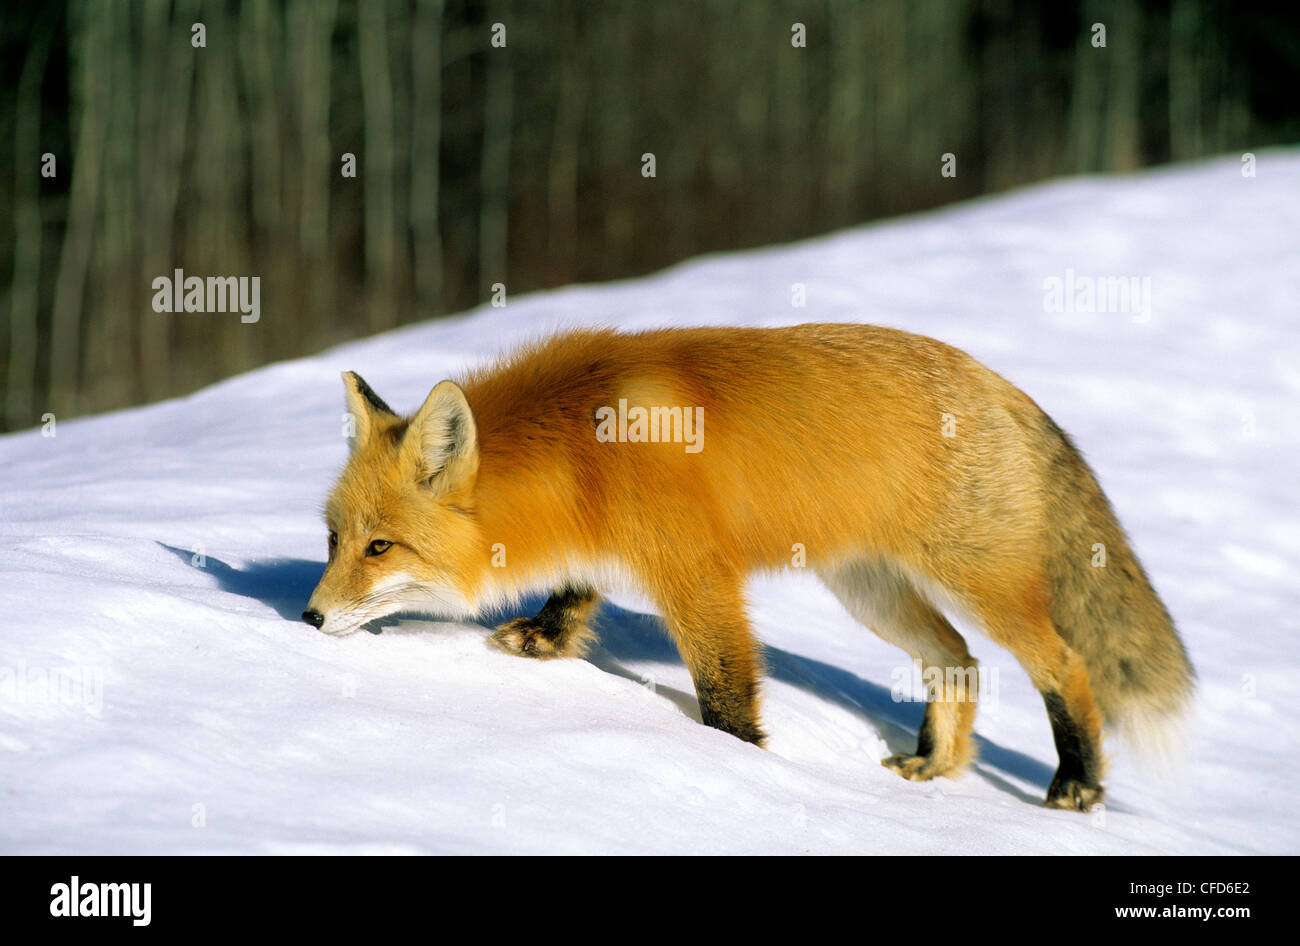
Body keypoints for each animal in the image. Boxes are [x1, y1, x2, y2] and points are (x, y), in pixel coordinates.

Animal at [302, 324, 1194, 811]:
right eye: (333, 540)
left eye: (381, 548)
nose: (308, 619)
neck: (585, 453)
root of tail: (1006, 389)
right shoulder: (611, 546)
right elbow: (574, 593)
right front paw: (547, 641)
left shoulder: (696, 574)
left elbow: (724, 685)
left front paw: (740, 763)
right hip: (872, 594)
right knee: (959, 662)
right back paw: (936, 766)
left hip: (981, 587)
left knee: (1067, 666)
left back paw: (1077, 783)